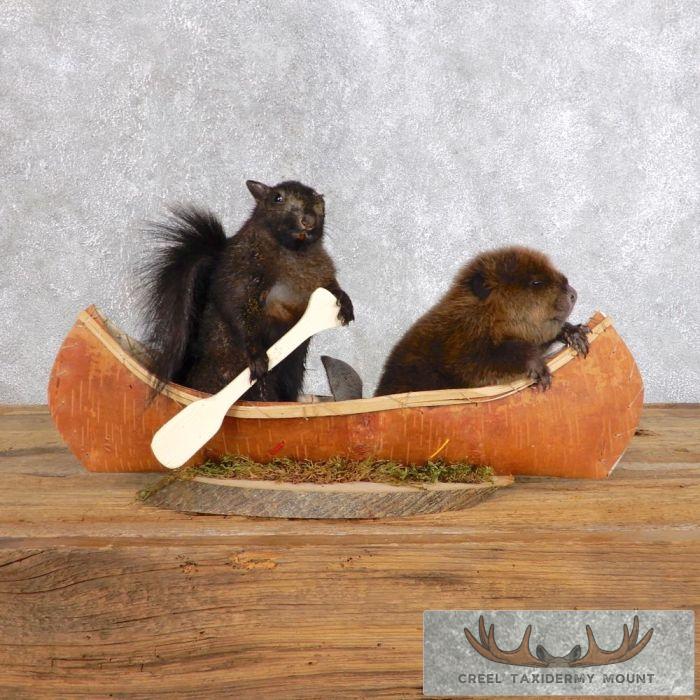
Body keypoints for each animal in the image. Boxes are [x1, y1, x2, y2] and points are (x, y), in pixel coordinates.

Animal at [140, 180, 354, 401]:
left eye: (319, 200)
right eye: (277, 198)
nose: (309, 220)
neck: (294, 252)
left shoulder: (322, 273)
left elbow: (331, 286)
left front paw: (344, 302)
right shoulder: (239, 273)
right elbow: (238, 311)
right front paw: (257, 356)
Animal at [374, 246, 589, 396]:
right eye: (536, 282)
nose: (573, 294)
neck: (480, 316)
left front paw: (576, 334)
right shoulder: (460, 345)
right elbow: (480, 367)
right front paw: (539, 369)